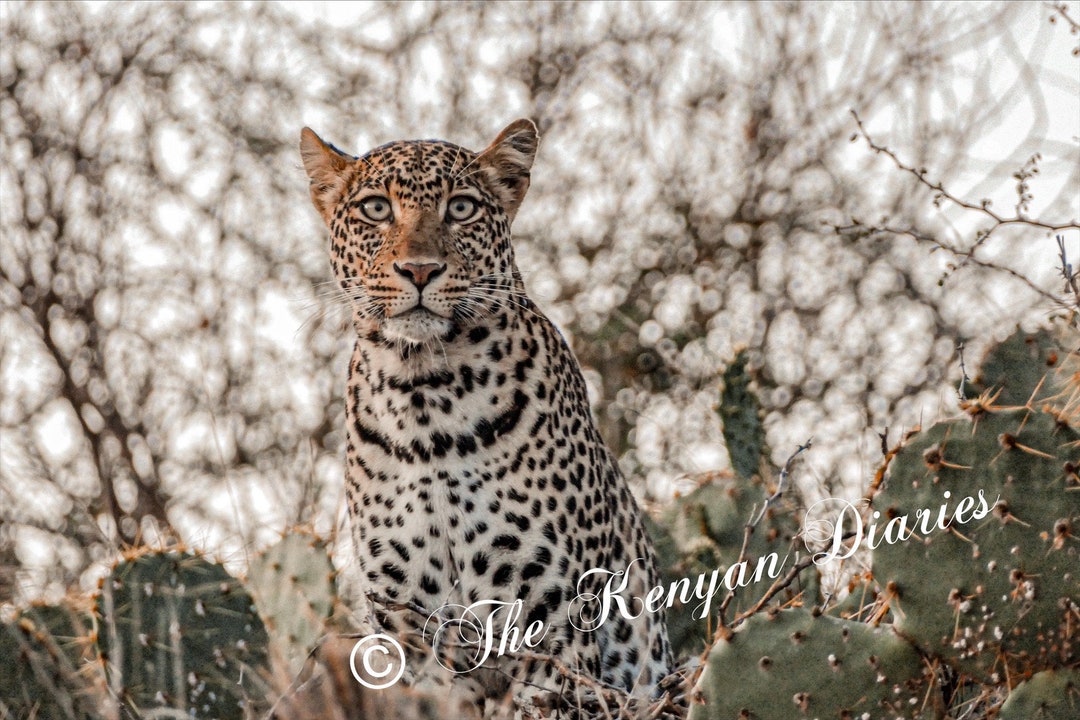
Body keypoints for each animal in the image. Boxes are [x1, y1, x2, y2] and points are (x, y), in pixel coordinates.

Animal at [300, 119, 672, 717]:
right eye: (376, 209)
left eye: (461, 208)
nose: (420, 269)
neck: (425, 394)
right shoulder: (408, 632)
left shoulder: (552, 629)